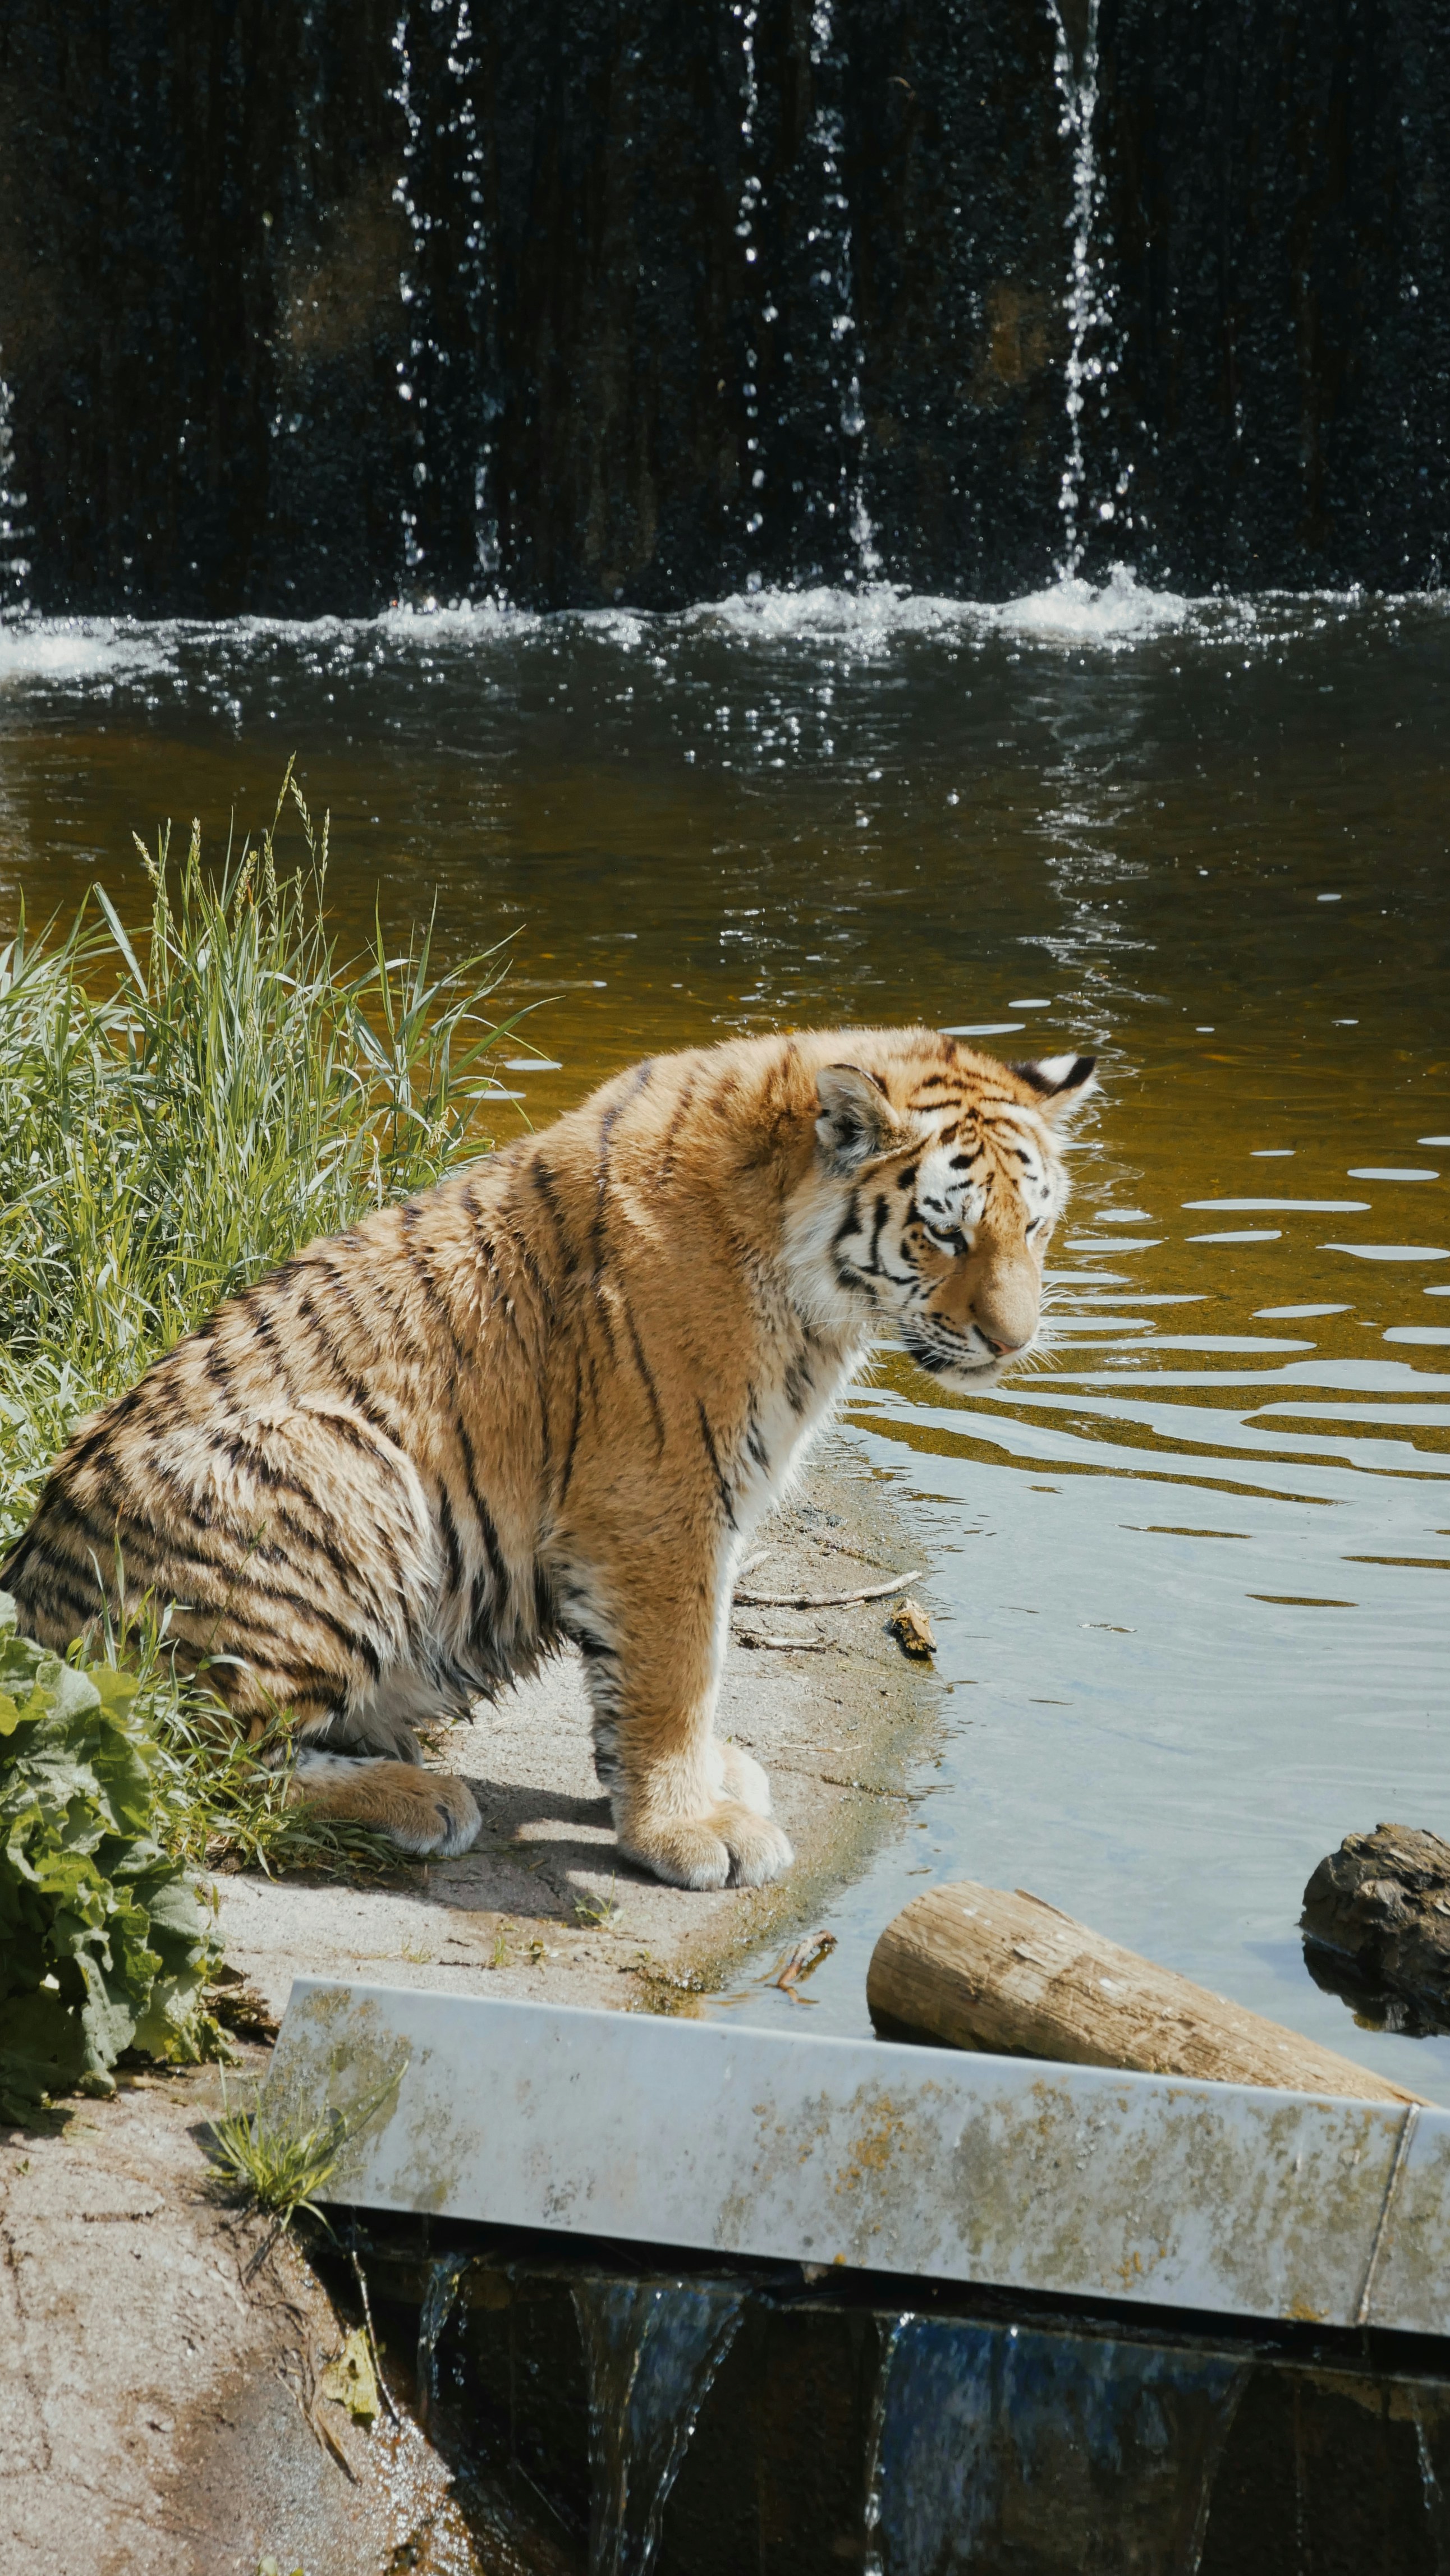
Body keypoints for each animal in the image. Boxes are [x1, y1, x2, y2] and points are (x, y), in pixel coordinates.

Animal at [0, 1028, 1096, 1889]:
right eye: (944, 1231)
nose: (1014, 1343)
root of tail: (32, 1607)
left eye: (1035, 1225)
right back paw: (417, 1796)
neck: (810, 1286)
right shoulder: (661, 1501)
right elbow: (677, 1670)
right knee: (187, 1763)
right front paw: (688, 1830)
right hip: (337, 1465)